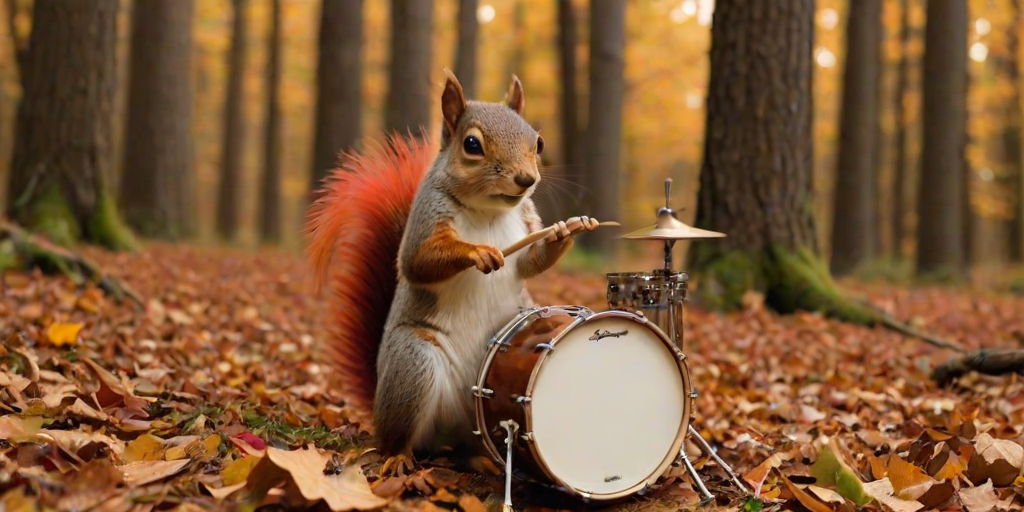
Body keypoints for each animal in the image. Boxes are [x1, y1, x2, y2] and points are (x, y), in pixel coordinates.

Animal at [304, 70, 599, 475]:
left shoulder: (526, 222)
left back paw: (481, 460)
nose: (526, 179)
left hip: (474, 416)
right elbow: (418, 261)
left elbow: (530, 262)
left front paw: (562, 232)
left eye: (537, 142)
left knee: (462, 446)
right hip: (413, 364)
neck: (489, 210)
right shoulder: (428, 217)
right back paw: (399, 458)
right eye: (472, 144)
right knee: (398, 437)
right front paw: (478, 252)